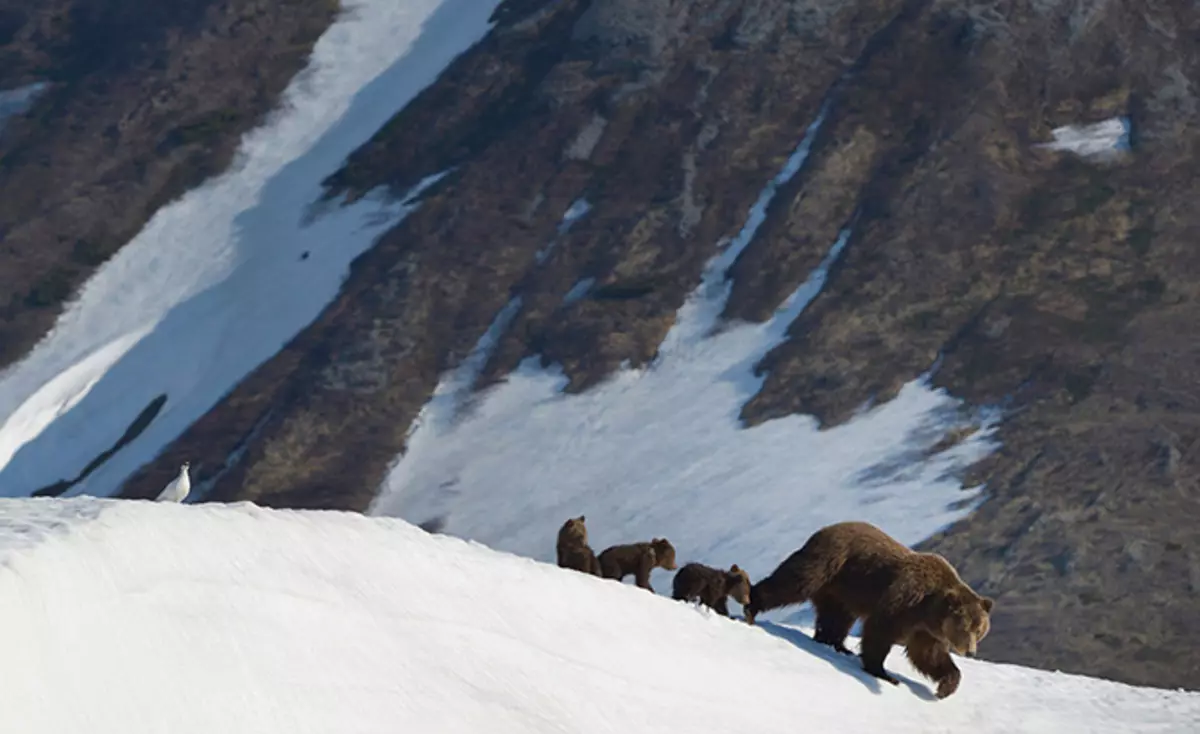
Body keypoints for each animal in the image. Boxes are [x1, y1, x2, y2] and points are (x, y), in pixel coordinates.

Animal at [748, 518, 993, 695]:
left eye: (979, 630)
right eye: (965, 627)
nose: (970, 651)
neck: (928, 610)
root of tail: (826, 528)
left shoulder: (925, 630)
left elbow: (927, 655)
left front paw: (946, 687)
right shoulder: (904, 600)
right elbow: (880, 630)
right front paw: (884, 674)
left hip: (842, 591)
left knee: (836, 618)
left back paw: (836, 645)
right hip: (830, 563)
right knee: (795, 582)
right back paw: (752, 602)